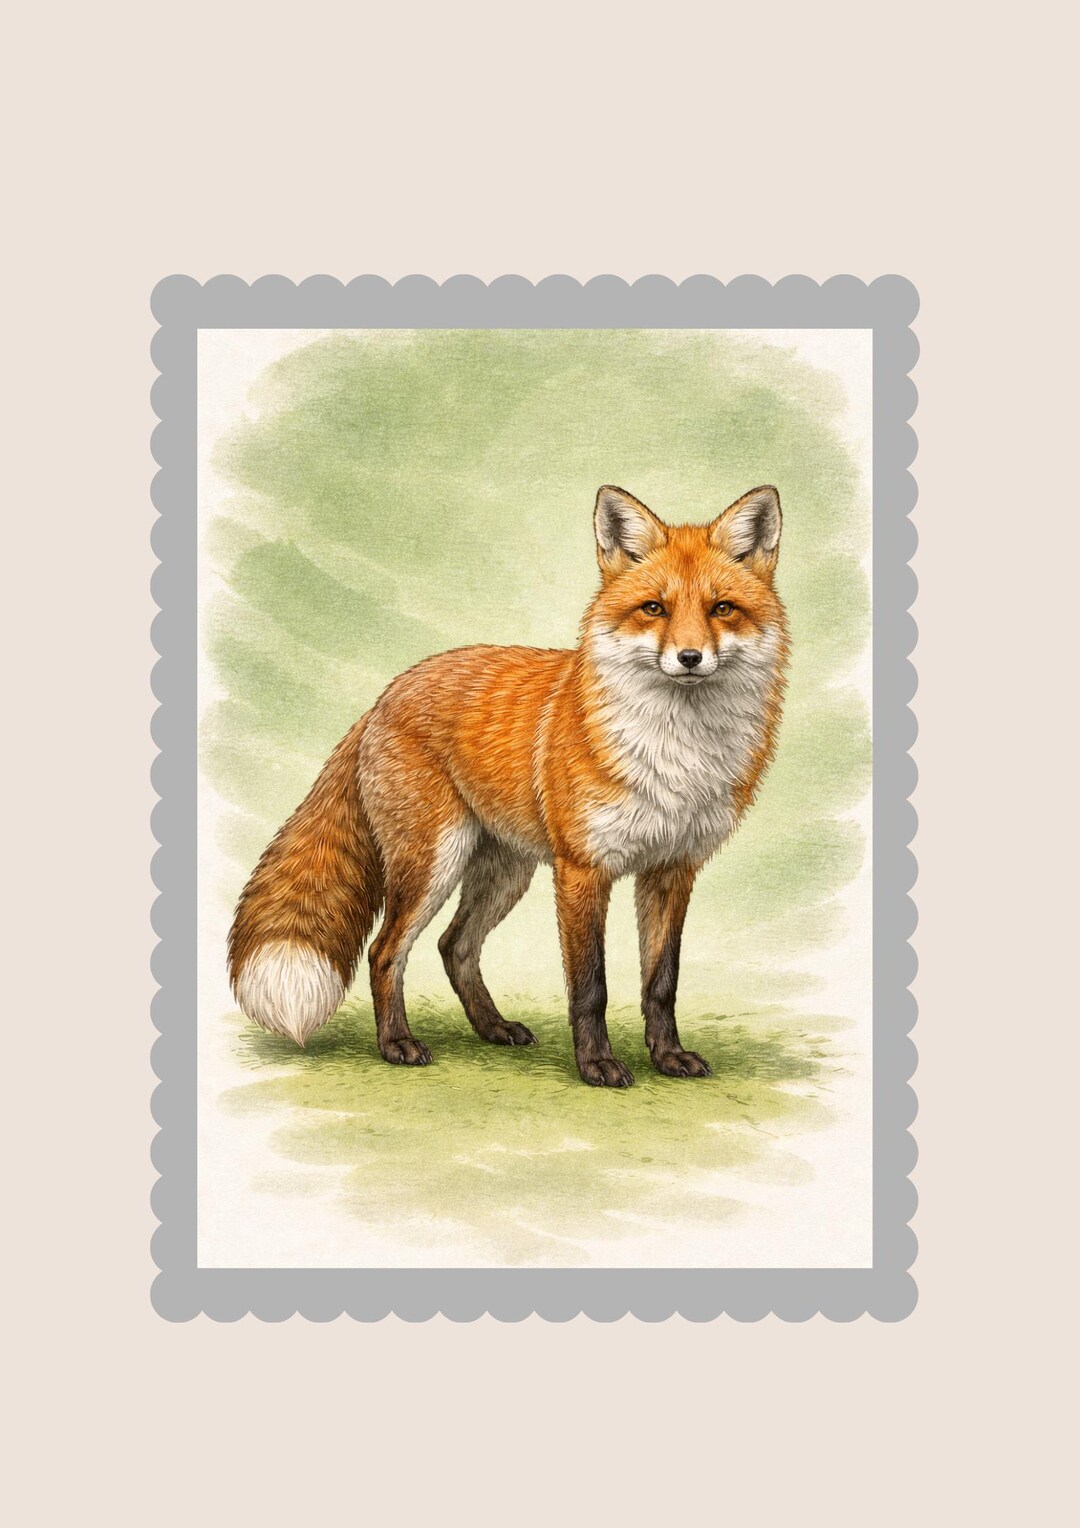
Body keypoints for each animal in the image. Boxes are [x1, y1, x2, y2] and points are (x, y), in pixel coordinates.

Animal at [229, 484, 788, 1087]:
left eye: (721, 608)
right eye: (654, 608)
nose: (688, 658)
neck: (676, 755)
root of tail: (388, 692)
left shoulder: (673, 869)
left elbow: (661, 983)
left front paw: (667, 1056)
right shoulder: (582, 870)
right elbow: (590, 987)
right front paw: (596, 1064)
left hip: (505, 871)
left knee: (454, 946)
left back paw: (492, 1028)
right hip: (433, 864)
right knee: (385, 951)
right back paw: (397, 1043)